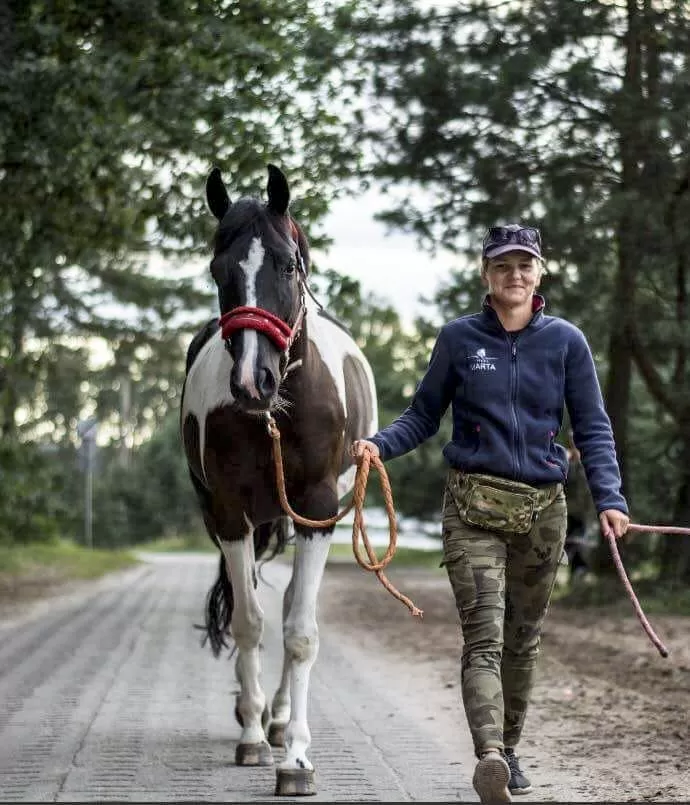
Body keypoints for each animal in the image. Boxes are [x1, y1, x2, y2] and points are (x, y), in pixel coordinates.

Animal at [177, 165, 376, 796]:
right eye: (219, 269)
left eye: (288, 266)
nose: (250, 381)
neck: (278, 411)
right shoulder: (228, 513)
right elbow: (247, 623)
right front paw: (251, 736)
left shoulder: (317, 508)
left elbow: (299, 631)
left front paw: (297, 759)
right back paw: (259, 714)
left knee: (292, 605)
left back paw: (284, 719)